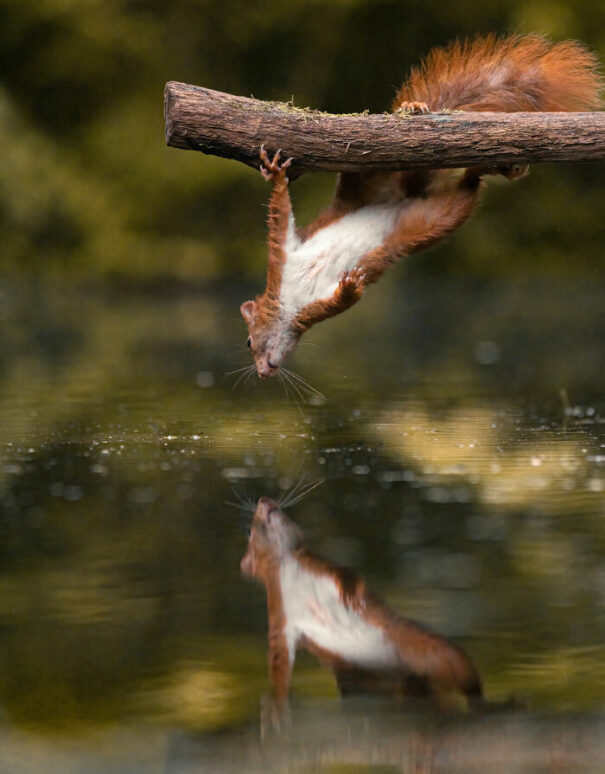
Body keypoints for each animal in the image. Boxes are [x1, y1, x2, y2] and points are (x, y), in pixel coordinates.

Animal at [240, 34, 602, 379]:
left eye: (248, 341)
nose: (263, 373)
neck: (291, 303)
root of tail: (400, 192)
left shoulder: (284, 259)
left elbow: (280, 216)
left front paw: (276, 175)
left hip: (370, 173)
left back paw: (416, 111)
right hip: (437, 215)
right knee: (470, 185)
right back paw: (485, 166)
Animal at [241, 496, 482, 713]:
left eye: (286, 512)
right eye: (251, 530)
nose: (264, 499)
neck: (287, 563)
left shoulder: (328, 570)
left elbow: (349, 577)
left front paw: (352, 600)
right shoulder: (281, 615)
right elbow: (279, 656)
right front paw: (277, 704)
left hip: (440, 654)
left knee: (468, 683)